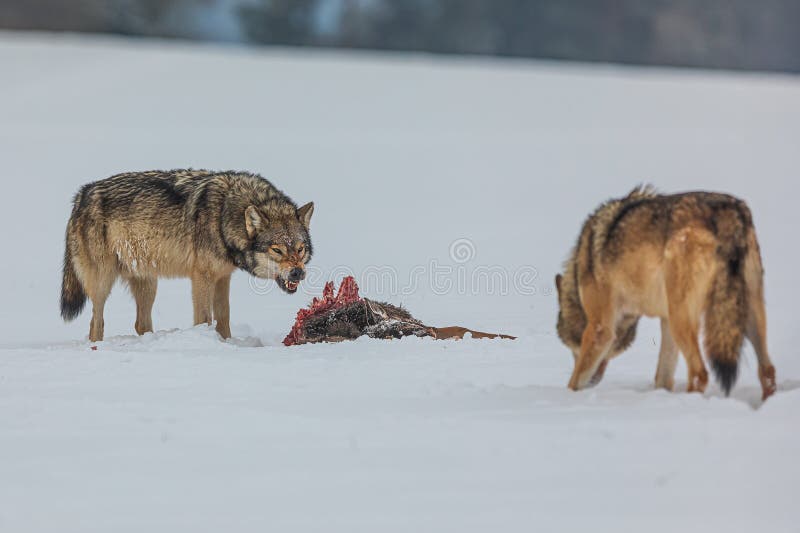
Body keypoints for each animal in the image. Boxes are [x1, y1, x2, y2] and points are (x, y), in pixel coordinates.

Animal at [61, 169, 314, 341]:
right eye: (277, 250)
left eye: (300, 249)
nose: (297, 273)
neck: (223, 214)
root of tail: (82, 194)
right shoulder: (201, 277)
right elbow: (205, 318)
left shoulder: (223, 277)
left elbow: (223, 318)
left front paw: (227, 344)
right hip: (102, 282)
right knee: (96, 323)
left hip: (148, 284)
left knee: (140, 324)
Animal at [555, 186, 776, 400]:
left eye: (573, 351)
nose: (593, 382)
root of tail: (728, 210)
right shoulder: (666, 322)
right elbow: (663, 377)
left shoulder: (600, 328)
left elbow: (575, 380)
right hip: (745, 315)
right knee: (767, 371)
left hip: (683, 319)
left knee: (700, 374)